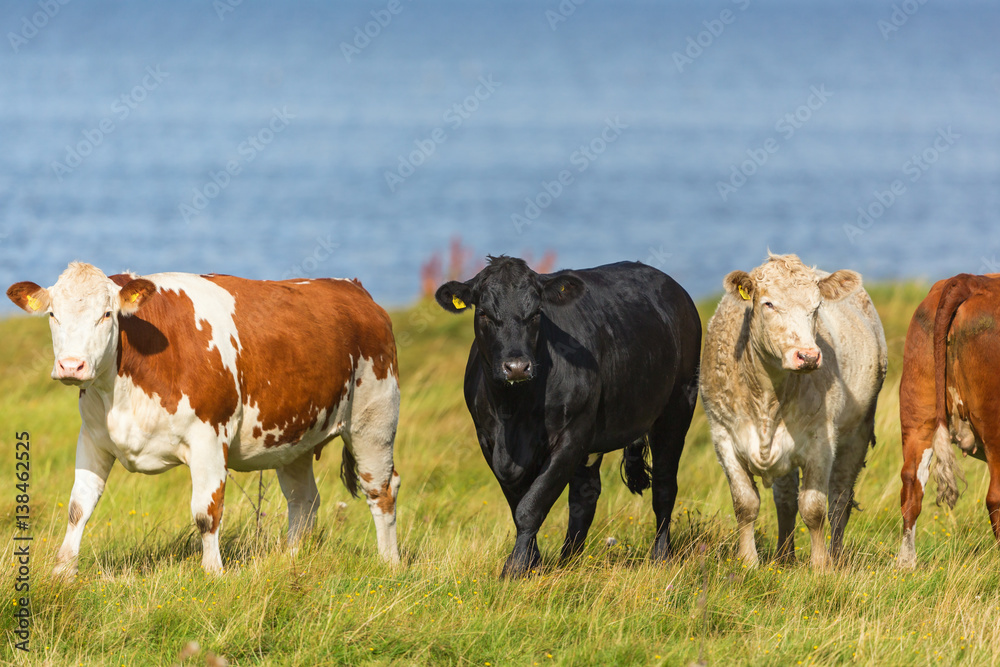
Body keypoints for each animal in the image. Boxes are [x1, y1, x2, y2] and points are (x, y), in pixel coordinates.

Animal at [7, 262, 401, 575]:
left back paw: (389, 563)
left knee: (381, 490)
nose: (71, 366)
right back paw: (290, 560)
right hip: (294, 435)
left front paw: (213, 572)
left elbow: (206, 512)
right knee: (303, 500)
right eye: (53, 315)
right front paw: (62, 572)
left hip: (373, 422)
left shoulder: (209, 438)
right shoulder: (93, 437)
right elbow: (78, 507)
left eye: (106, 315)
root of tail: (352, 288)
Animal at [435, 256, 701, 578]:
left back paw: (660, 557)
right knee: (585, 495)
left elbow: (531, 505)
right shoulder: (487, 440)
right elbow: (518, 503)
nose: (516, 367)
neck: (513, 412)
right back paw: (569, 561)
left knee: (664, 485)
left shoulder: (571, 436)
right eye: (484, 313)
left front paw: (515, 568)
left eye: (536, 313)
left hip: (677, 407)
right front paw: (532, 563)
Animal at [700, 253, 887, 569]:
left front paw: (821, 566)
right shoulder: (723, 435)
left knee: (839, 500)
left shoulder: (821, 440)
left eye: (816, 307)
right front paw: (748, 561)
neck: (766, 396)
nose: (808, 356)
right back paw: (783, 557)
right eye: (768, 304)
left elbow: (814, 508)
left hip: (858, 432)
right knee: (785, 500)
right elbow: (745, 503)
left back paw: (836, 556)